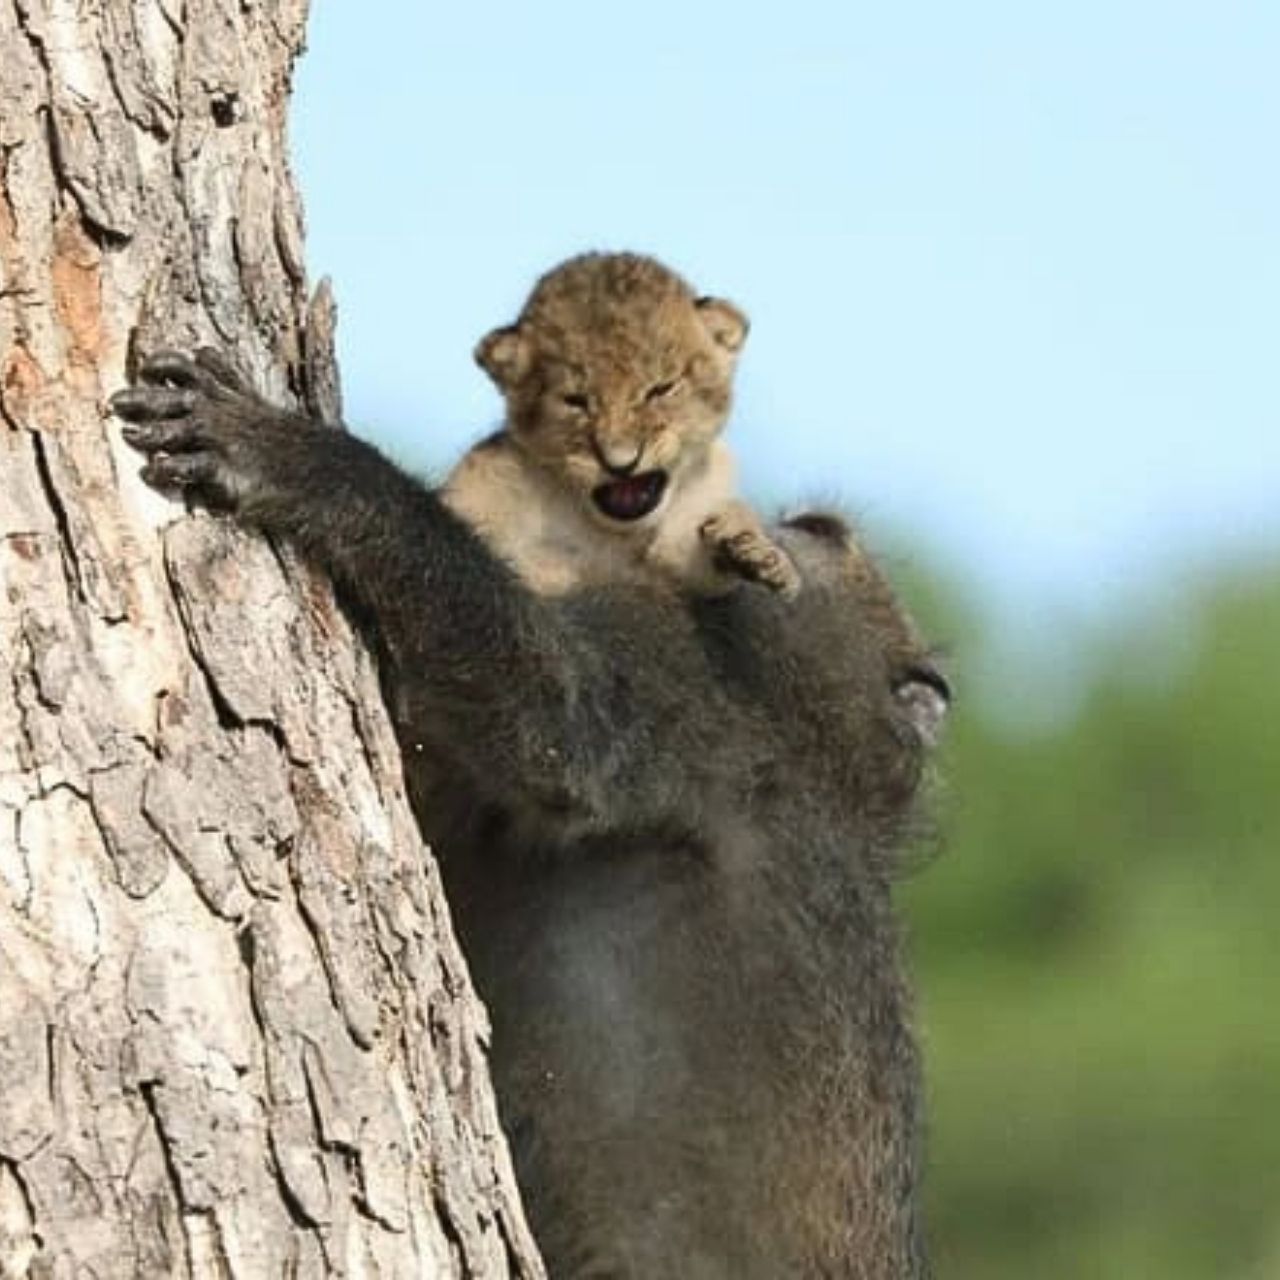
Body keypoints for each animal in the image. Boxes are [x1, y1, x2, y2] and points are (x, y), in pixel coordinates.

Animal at [112, 346, 949, 1278]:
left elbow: (556, 723)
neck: (821, 754)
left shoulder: (690, 682)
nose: (762, 520)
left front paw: (295, 459)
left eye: (816, 527)